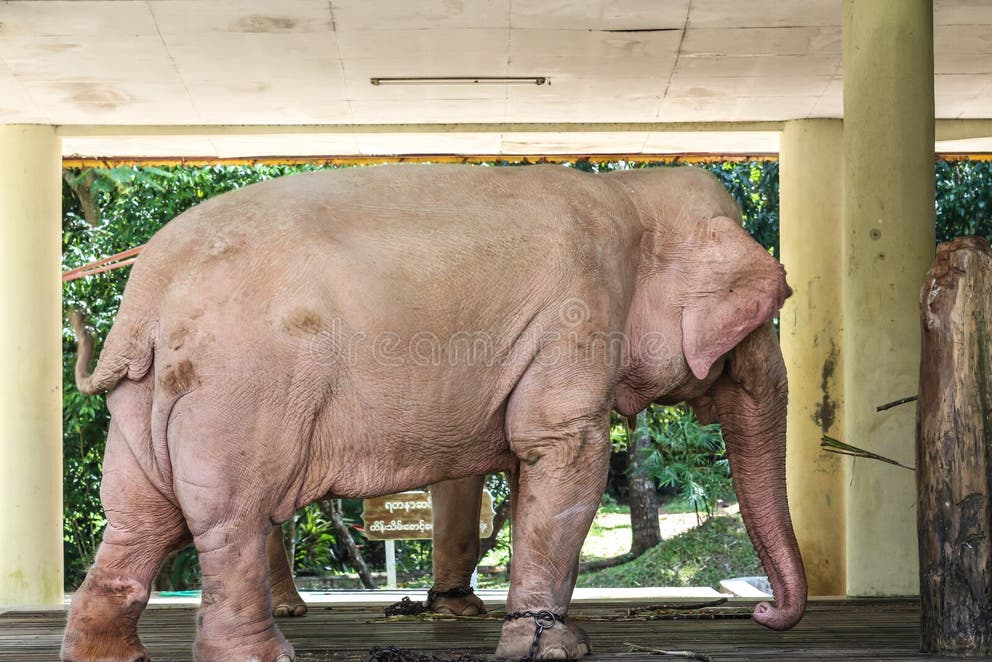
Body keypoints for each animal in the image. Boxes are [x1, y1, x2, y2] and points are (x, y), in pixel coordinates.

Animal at [61, 163, 806, 662]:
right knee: (233, 517)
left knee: (138, 521)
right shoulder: (578, 318)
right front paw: (552, 647)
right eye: (762, 318)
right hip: (243, 390)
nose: (763, 611)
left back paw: (109, 655)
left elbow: (500, 469)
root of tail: (147, 294)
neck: (634, 191)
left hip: (151, 394)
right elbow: (565, 450)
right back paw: (261, 655)